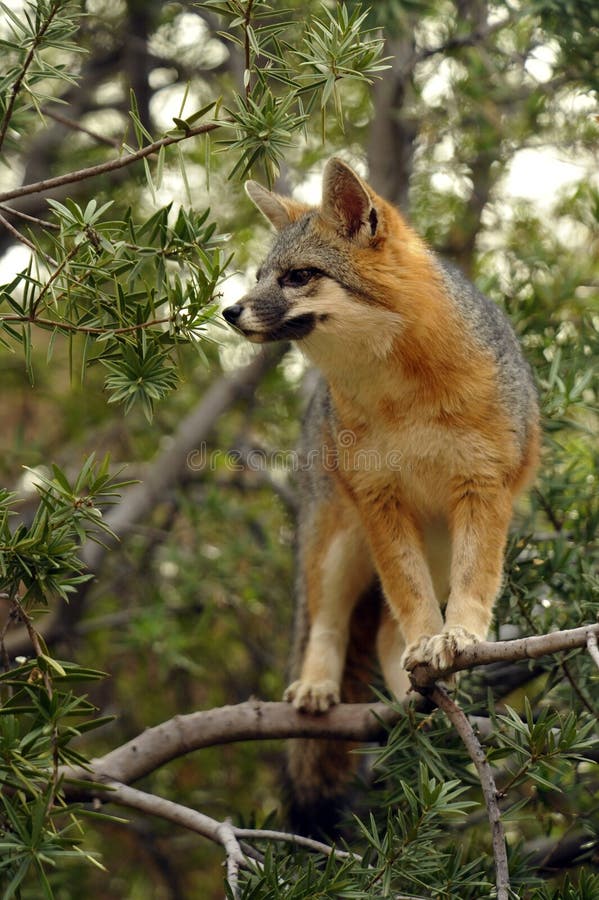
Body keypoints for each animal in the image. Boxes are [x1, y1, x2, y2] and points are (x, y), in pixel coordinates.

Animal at [223, 157, 540, 832]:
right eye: (261, 277)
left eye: (298, 277)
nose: (231, 311)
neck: (404, 395)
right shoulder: (381, 502)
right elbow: (408, 601)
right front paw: (430, 641)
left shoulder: (482, 491)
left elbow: (473, 586)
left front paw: (462, 637)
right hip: (340, 546)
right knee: (332, 624)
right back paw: (321, 687)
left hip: (435, 540)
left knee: (387, 638)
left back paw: (420, 697)